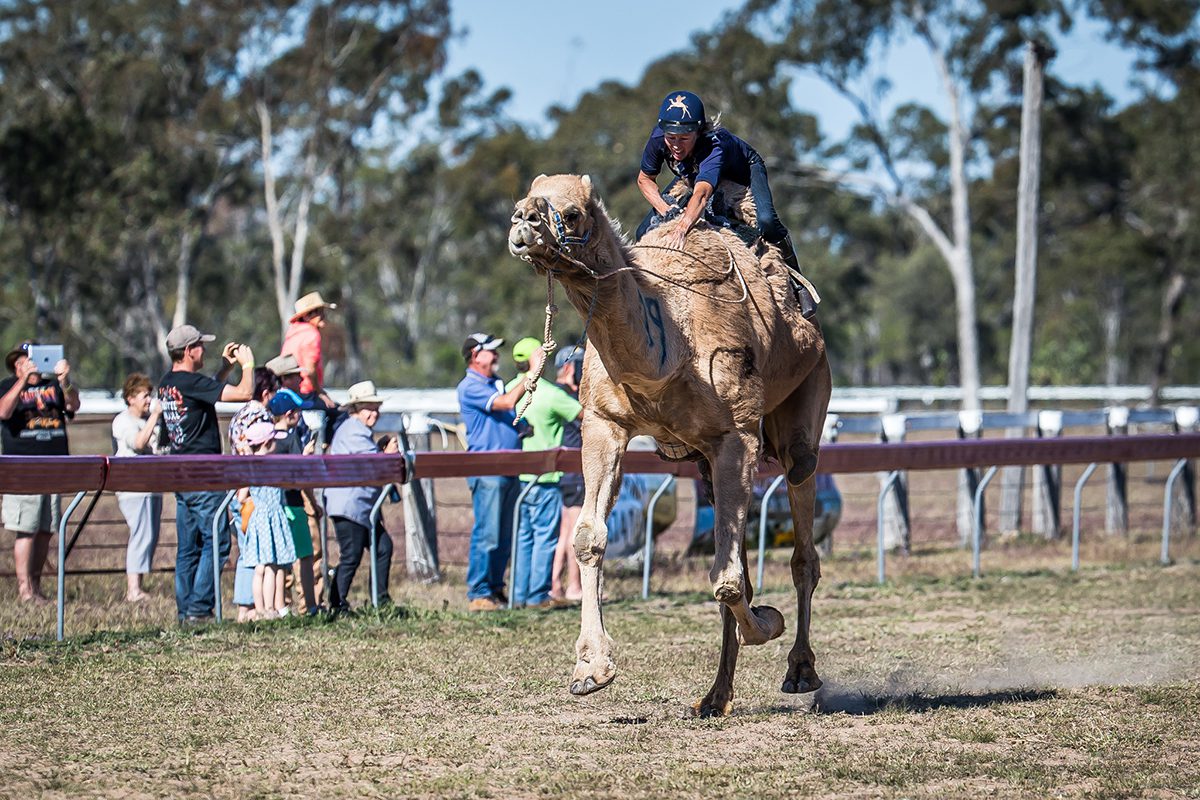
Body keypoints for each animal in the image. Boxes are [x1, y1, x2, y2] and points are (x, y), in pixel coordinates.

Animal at [507, 174, 832, 717]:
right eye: (519, 204)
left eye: (572, 213)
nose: (523, 224)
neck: (667, 352)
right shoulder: (604, 424)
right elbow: (590, 537)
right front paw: (590, 670)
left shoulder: (737, 435)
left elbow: (726, 578)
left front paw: (768, 621)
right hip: (702, 462)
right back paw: (715, 697)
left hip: (805, 400)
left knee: (802, 536)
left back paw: (800, 671)